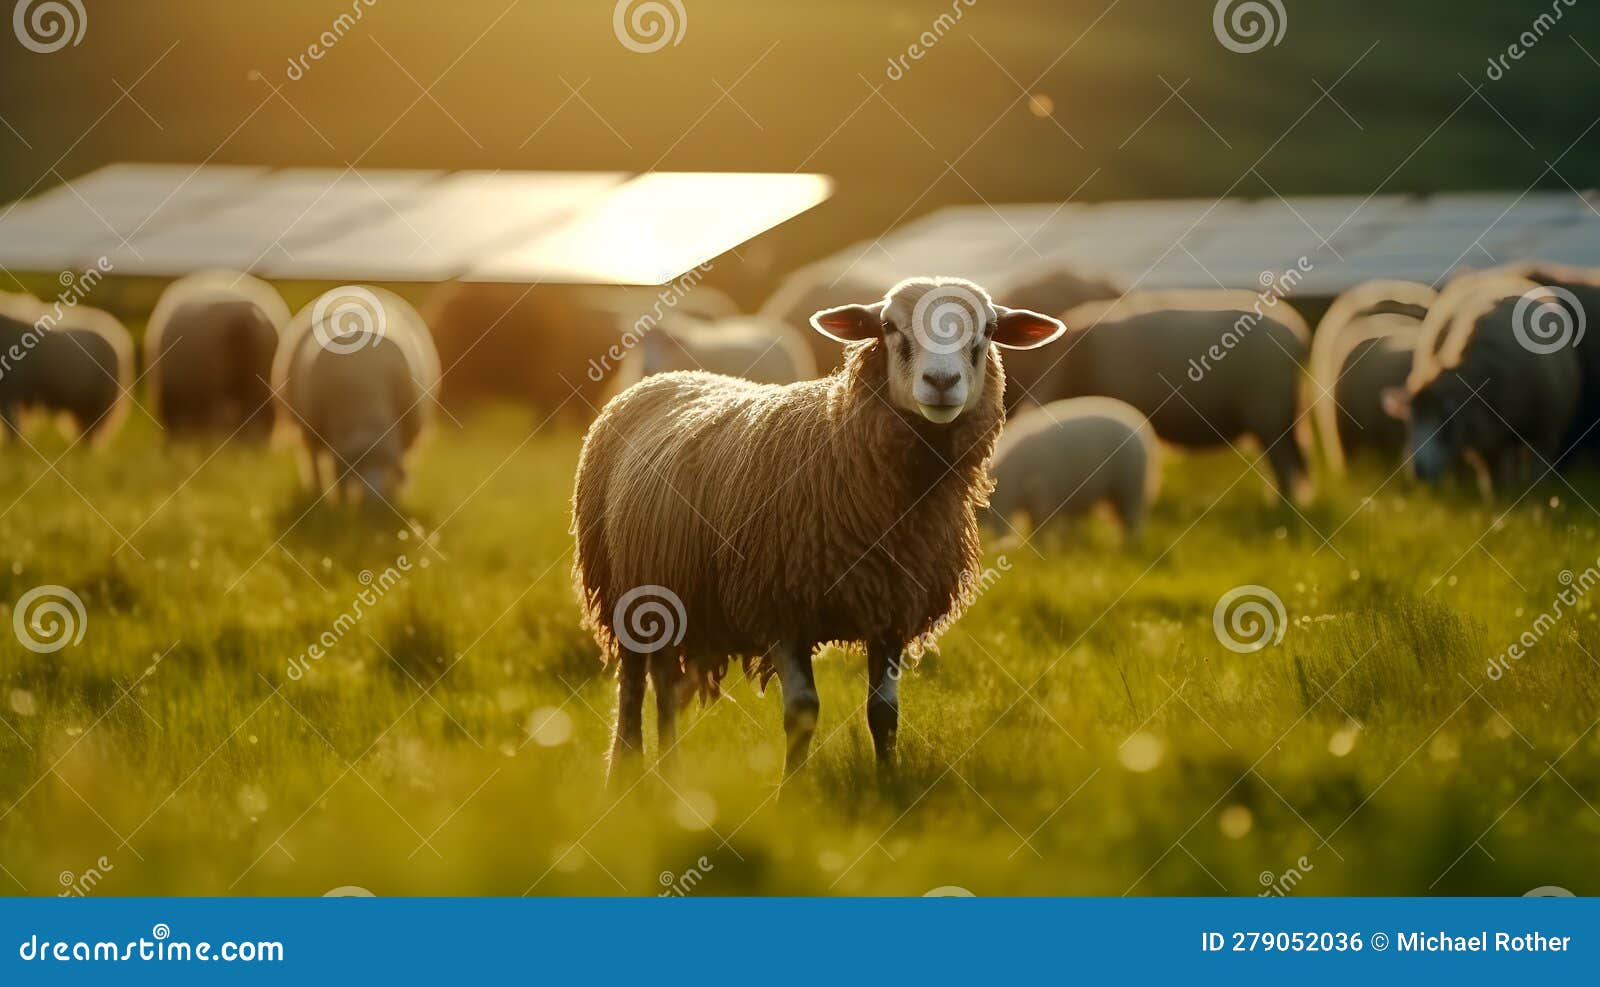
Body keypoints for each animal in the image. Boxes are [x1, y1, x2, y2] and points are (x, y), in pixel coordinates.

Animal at [272, 285, 440, 504]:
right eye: (358, 470)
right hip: (309, 429)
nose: (374, 503)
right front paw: (343, 505)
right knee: (313, 459)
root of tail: (360, 287)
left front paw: (394, 495)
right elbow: (338, 478)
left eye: (383, 466)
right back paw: (317, 491)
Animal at [1382, 274, 1579, 496]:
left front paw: (1538, 497)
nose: (1418, 471)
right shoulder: (1487, 438)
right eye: (1409, 423)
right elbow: (1492, 477)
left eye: (1444, 425)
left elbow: (1538, 472)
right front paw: (1499, 501)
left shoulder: (1544, 432)